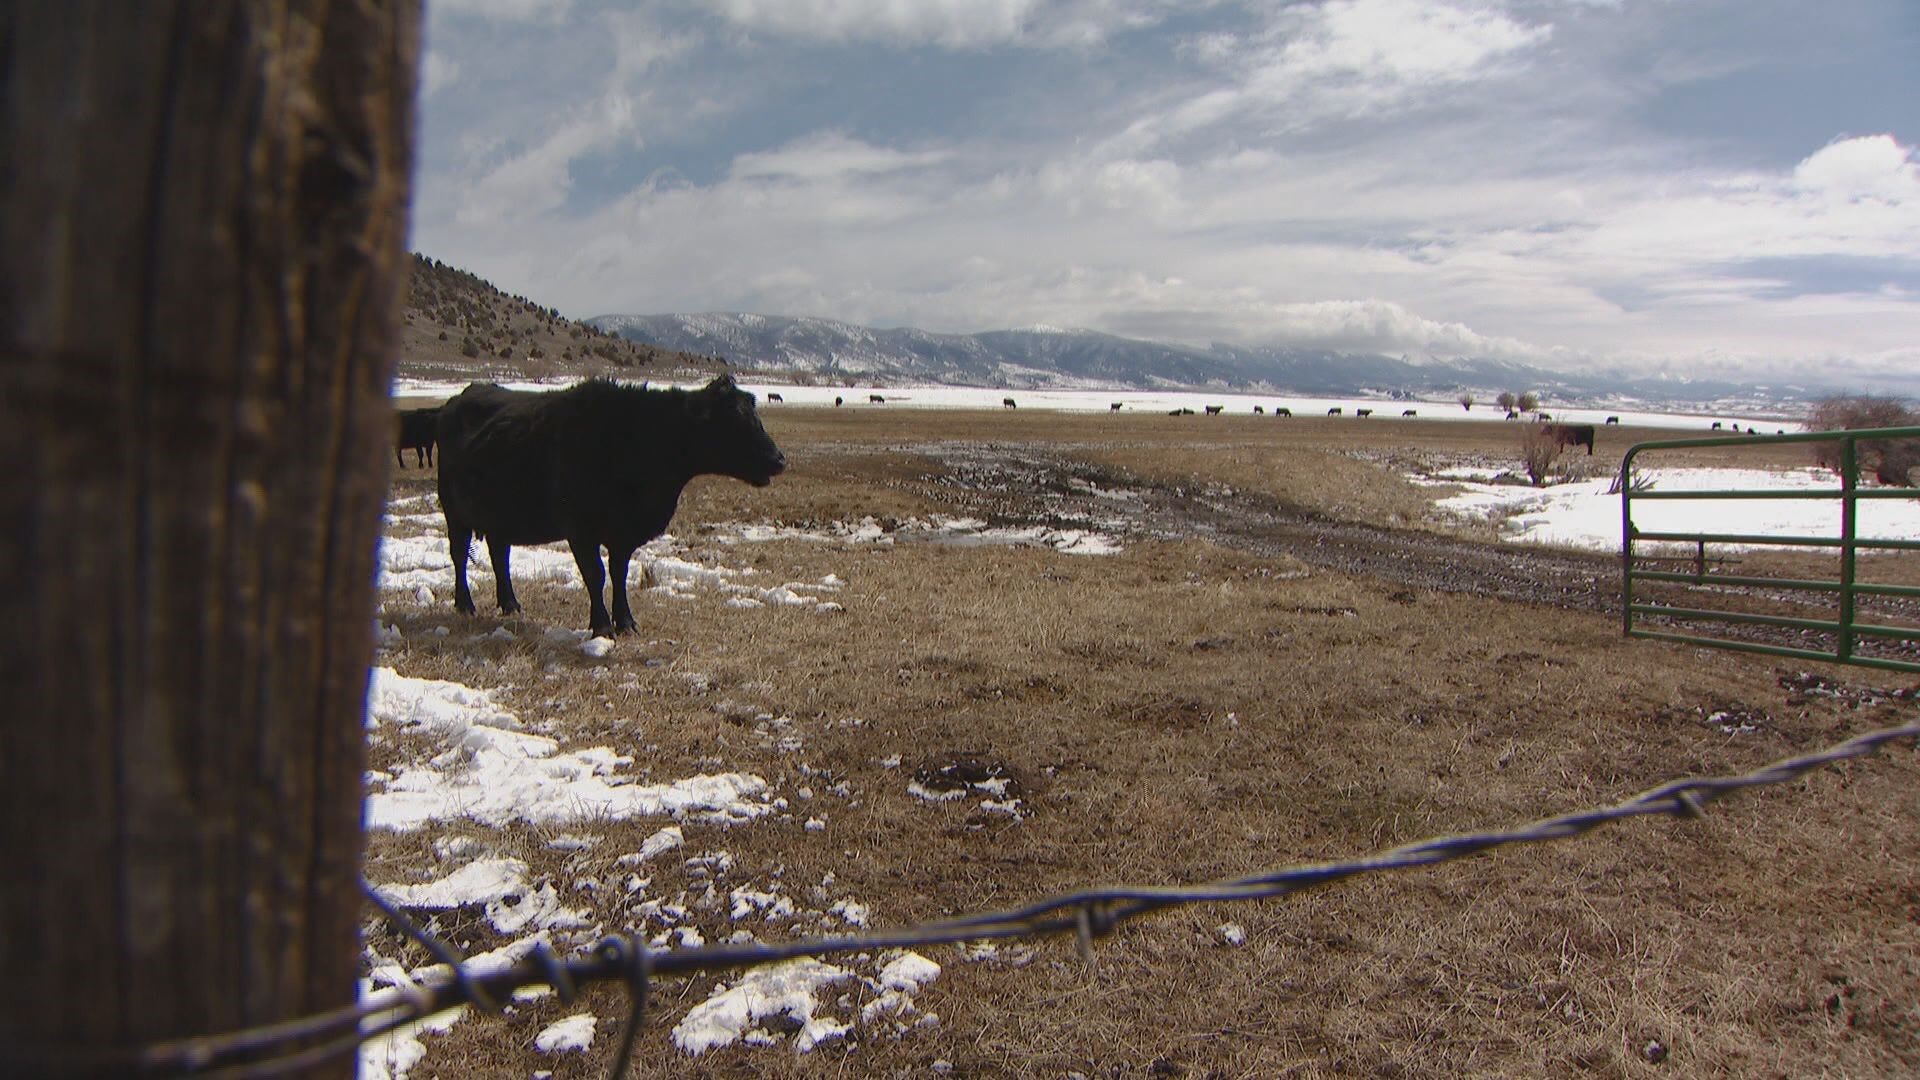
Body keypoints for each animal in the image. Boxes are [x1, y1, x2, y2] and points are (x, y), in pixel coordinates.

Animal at [436, 376, 786, 638]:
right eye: (733, 422)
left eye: (756, 417)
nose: (779, 459)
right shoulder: (580, 530)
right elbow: (596, 574)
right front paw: (602, 626)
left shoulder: (623, 534)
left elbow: (619, 573)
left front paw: (626, 622)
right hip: (454, 512)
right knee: (459, 555)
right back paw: (465, 604)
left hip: (500, 517)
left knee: (500, 555)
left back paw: (510, 603)